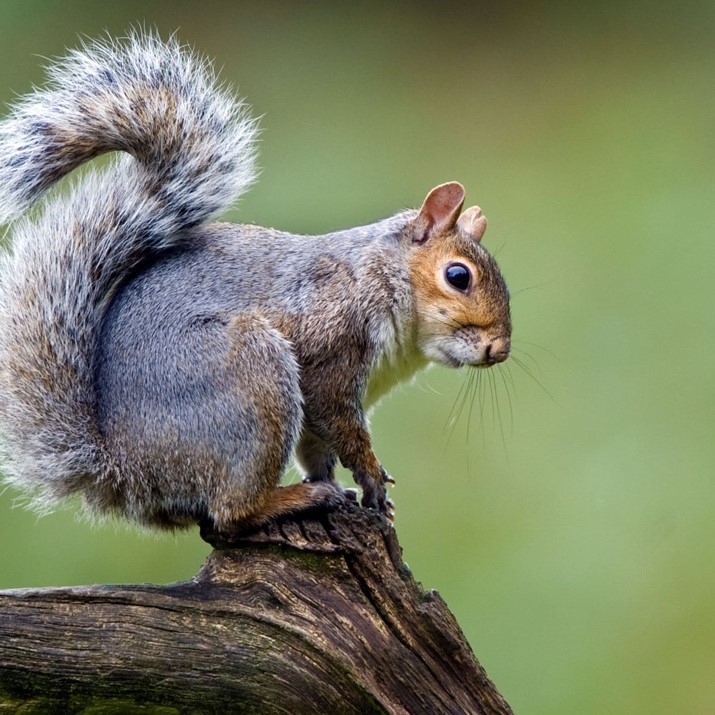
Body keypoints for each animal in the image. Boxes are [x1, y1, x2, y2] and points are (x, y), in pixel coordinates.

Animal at [0, 33, 511, 533]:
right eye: (458, 276)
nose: (499, 349)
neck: (379, 278)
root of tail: (127, 473)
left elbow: (317, 447)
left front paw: (357, 489)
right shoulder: (330, 347)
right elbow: (341, 427)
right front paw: (369, 477)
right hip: (253, 380)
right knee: (230, 514)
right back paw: (294, 499)